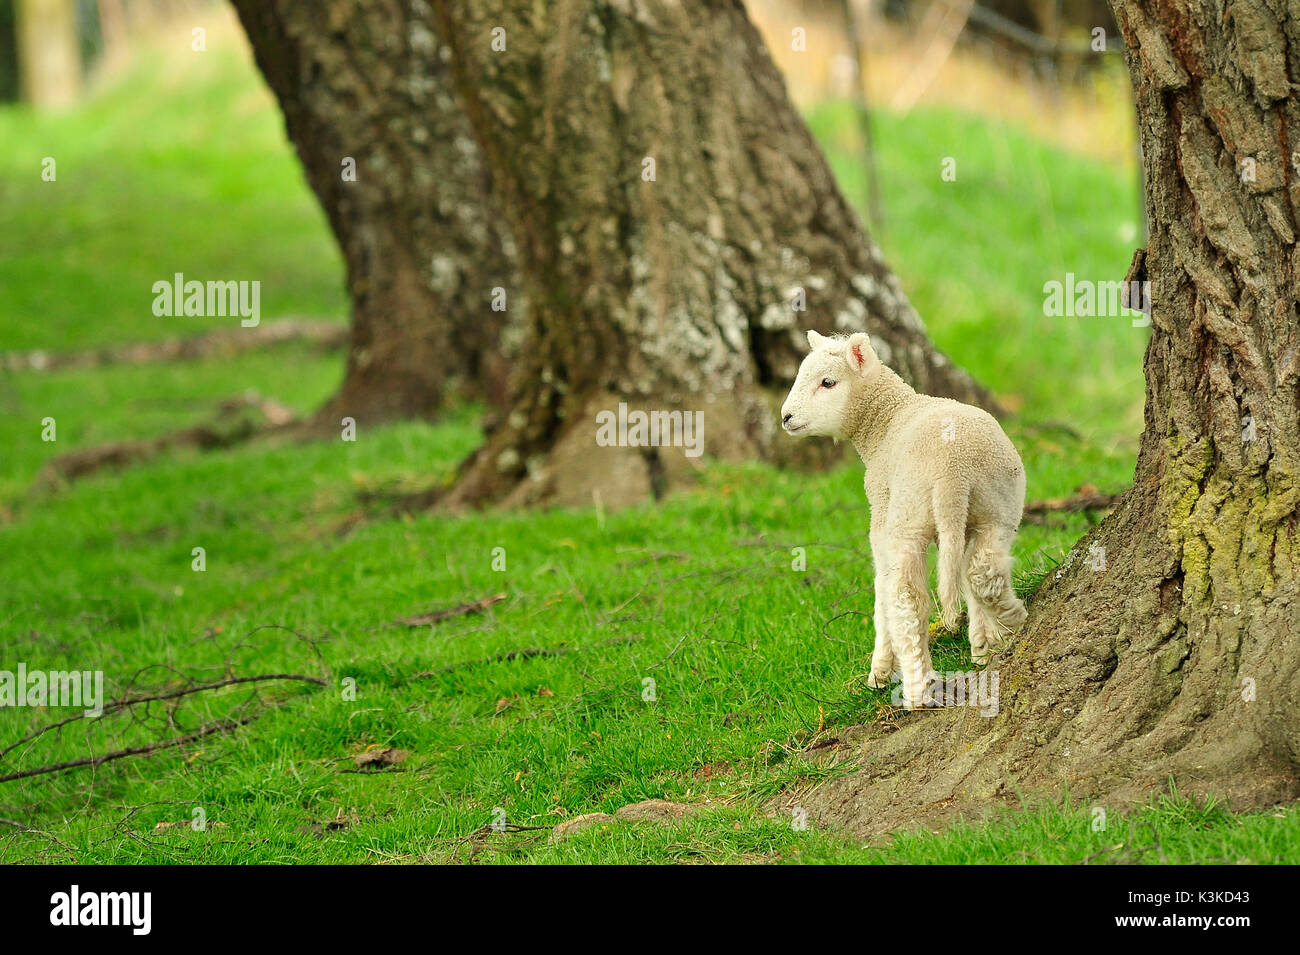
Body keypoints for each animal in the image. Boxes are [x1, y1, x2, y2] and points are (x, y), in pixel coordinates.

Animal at [780, 330, 1028, 709]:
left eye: (828, 382)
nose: (786, 417)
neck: (886, 419)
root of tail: (953, 471)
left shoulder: (880, 510)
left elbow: (882, 586)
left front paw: (880, 669)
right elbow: (960, 573)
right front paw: (983, 642)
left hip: (908, 515)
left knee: (907, 596)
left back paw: (915, 689)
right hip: (997, 505)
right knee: (983, 571)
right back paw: (1008, 627)